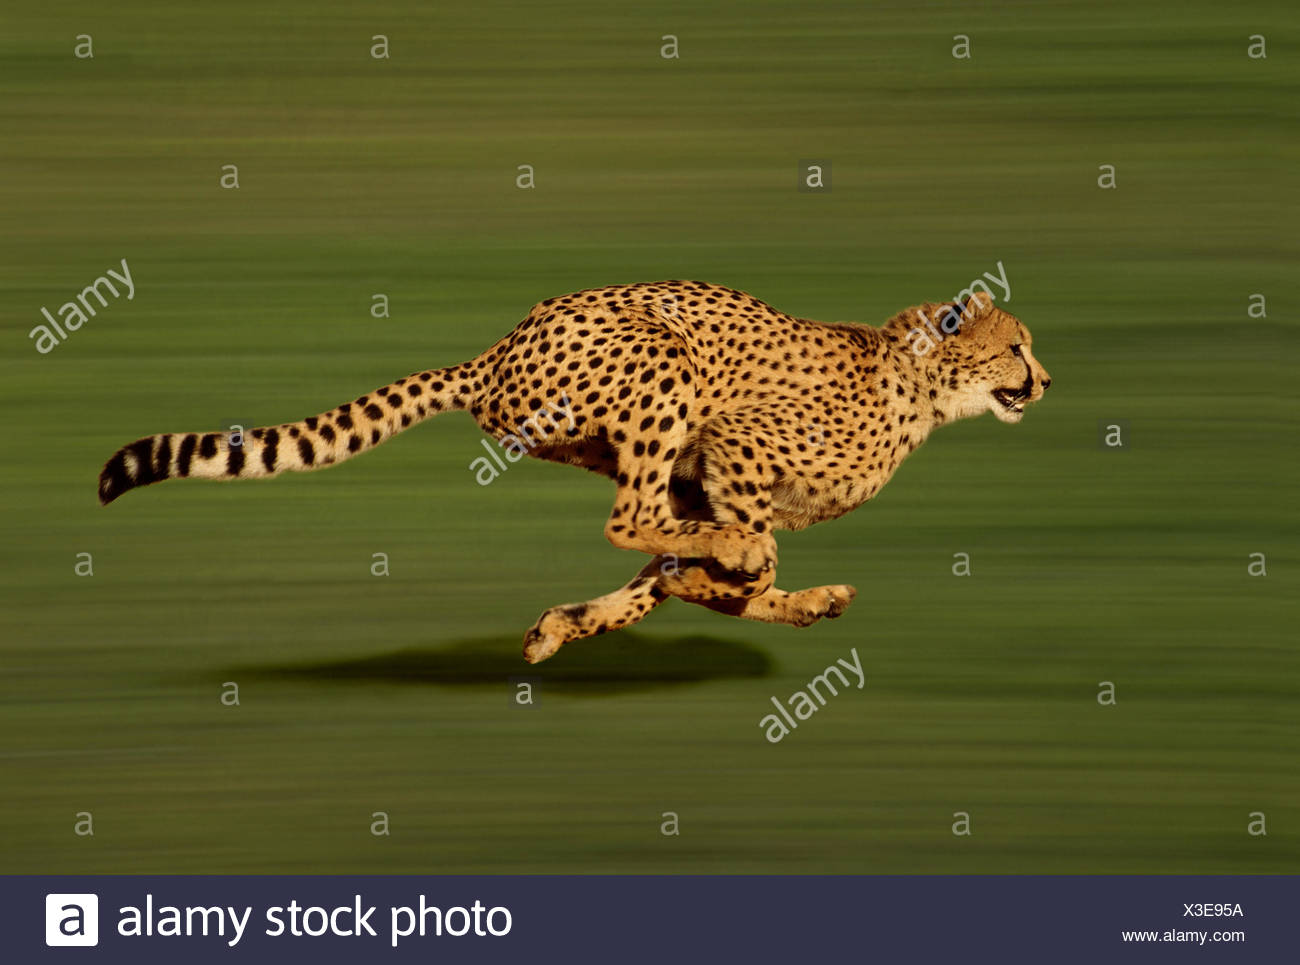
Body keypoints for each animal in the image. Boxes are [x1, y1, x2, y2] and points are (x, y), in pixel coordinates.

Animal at [98, 281, 1051, 662]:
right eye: (1015, 348)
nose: (1045, 380)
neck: (921, 386)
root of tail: (495, 350)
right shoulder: (733, 445)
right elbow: (740, 555)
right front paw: (750, 578)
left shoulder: (699, 480)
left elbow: (672, 572)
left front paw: (568, 622)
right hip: (666, 364)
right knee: (626, 517)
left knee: (644, 527)